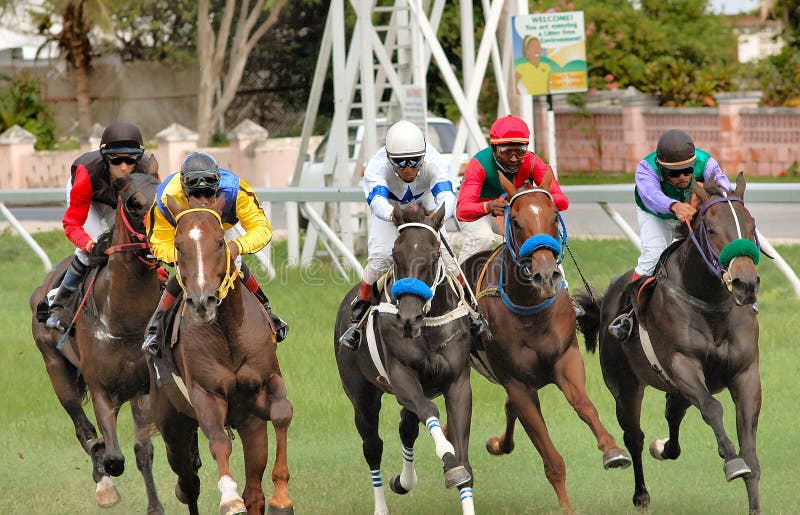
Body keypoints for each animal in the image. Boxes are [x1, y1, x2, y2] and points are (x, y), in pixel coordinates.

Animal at [29, 167, 164, 513]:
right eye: (135, 203)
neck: (126, 318)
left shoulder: (144, 388)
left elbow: (143, 450)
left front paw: (155, 505)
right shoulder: (102, 388)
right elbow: (112, 454)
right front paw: (106, 476)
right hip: (56, 370)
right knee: (83, 428)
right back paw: (103, 482)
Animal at [149, 194, 293, 515]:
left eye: (218, 242)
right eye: (179, 246)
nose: (203, 301)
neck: (227, 332)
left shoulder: (265, 384)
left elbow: (281, 412)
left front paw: (282, 497)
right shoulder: (206, 394)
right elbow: (218, 442)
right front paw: (229, 497)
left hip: (251, 428)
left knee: (255, 493)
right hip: (172, 426)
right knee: (188, 482)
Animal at [334, 204, 476, 515]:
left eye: (434, 256)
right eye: (395, 256)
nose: (409, 318)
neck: (428, 325)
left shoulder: (458, 382)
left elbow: (463, 458)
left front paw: (456, 470)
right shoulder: (401, 377)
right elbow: (431, 412)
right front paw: (446, 454)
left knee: (407, 427)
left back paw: (404, 480)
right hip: (362, 396)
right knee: (373, 445)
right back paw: (381, 507)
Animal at [461, 171, 631, 514]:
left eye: (554, 216)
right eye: (515, 222)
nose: (545, 274)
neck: (529, 308)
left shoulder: (566, 358)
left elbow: (583, 405)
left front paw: (613, 450)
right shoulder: (517, 383)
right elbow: (551, 460)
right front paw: (566, 506)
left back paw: (497, 443)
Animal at [575, 173, 762, 514]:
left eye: (751, 224)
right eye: (711, 229)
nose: (746, 283)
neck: (710, 304)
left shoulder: (746, 373)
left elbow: (749, 445)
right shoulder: (681, 364)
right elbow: (713, 408)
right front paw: (732, 461)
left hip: (675, 389)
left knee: (673, 414)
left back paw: (663, 447)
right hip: (624, 386)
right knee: (634, 435)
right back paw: (641, 494)